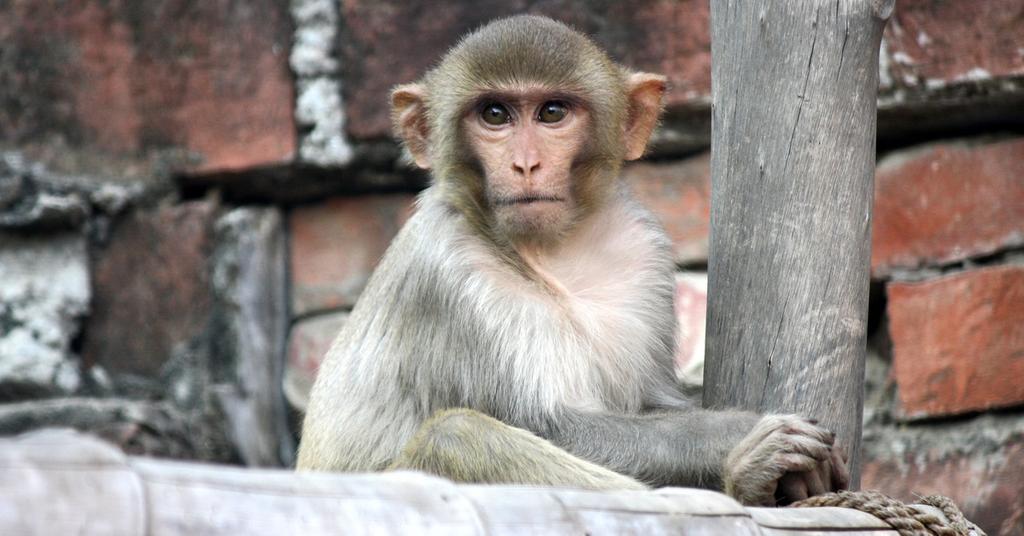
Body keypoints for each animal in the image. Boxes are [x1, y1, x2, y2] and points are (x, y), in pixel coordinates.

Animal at [296, 15, 849, 506]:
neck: (551, 251)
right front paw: (740, 434)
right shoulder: (444, 277)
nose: (525, 164)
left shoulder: (643, 247)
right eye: (494, 115)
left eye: (552, 112)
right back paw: (743, 480)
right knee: (455, 436)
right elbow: (551, 425)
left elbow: (655, 403)